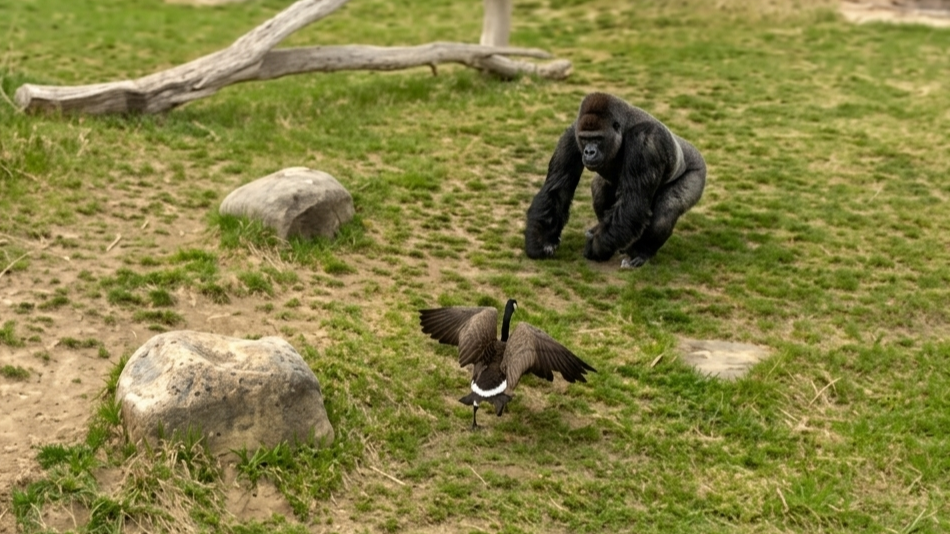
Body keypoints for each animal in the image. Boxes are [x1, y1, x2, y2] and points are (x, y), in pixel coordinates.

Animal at [524, 92, 706, 268]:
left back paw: (641, 252)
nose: (589, 152)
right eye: (585, 138)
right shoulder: (571, 135)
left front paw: (595, 247)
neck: (623, 129)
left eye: (598, 138)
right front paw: (540, 241)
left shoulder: (645, 142)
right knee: (599, 190)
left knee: (667, 208)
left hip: (697, 172)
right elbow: (557, 188)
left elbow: (632, 203)